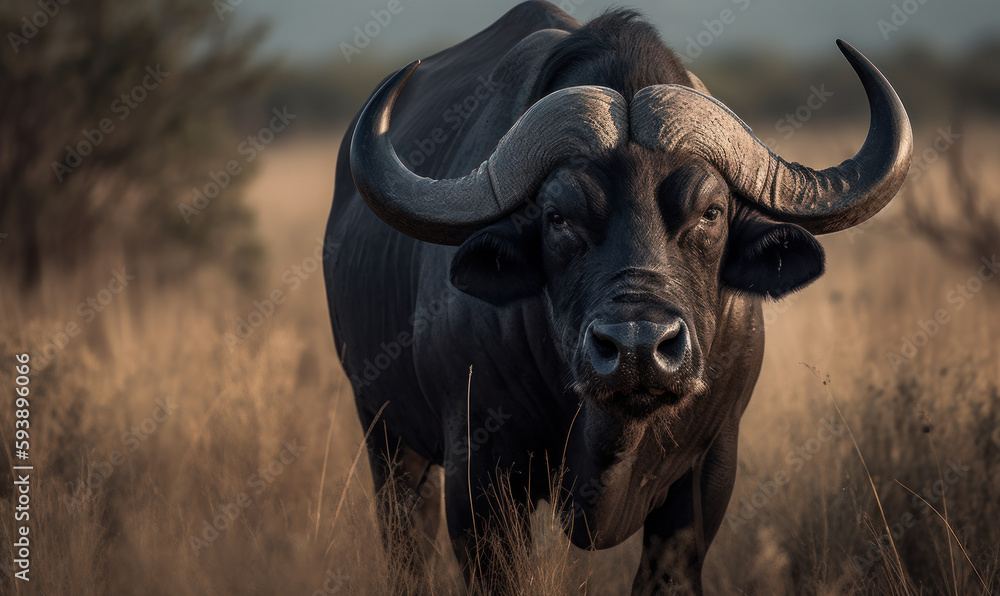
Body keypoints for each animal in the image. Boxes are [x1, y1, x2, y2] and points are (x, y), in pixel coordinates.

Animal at [324, 2, 911, 593]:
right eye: (557, 217)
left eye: (711, 212)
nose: (637, 347)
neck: (612, 438)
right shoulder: (478, 473)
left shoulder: (710, 468)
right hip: (387, 438)